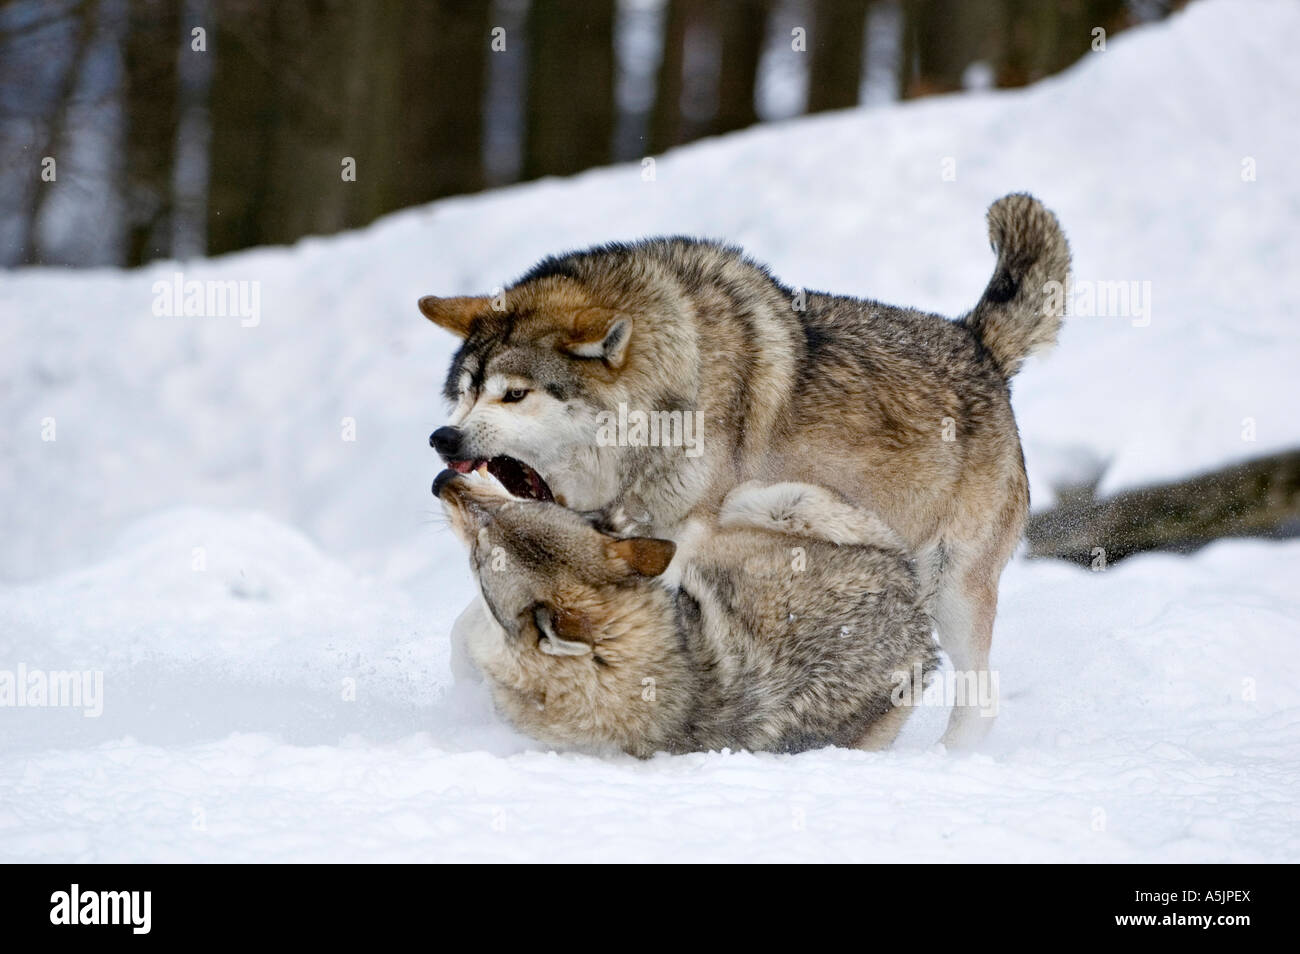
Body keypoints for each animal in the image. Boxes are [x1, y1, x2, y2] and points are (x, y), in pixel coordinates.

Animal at [437, 467, 938, 757]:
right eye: (514, 504)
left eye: (480, 553)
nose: (441, 482)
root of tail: (909, 588)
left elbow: (464, 638)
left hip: (756, 503)